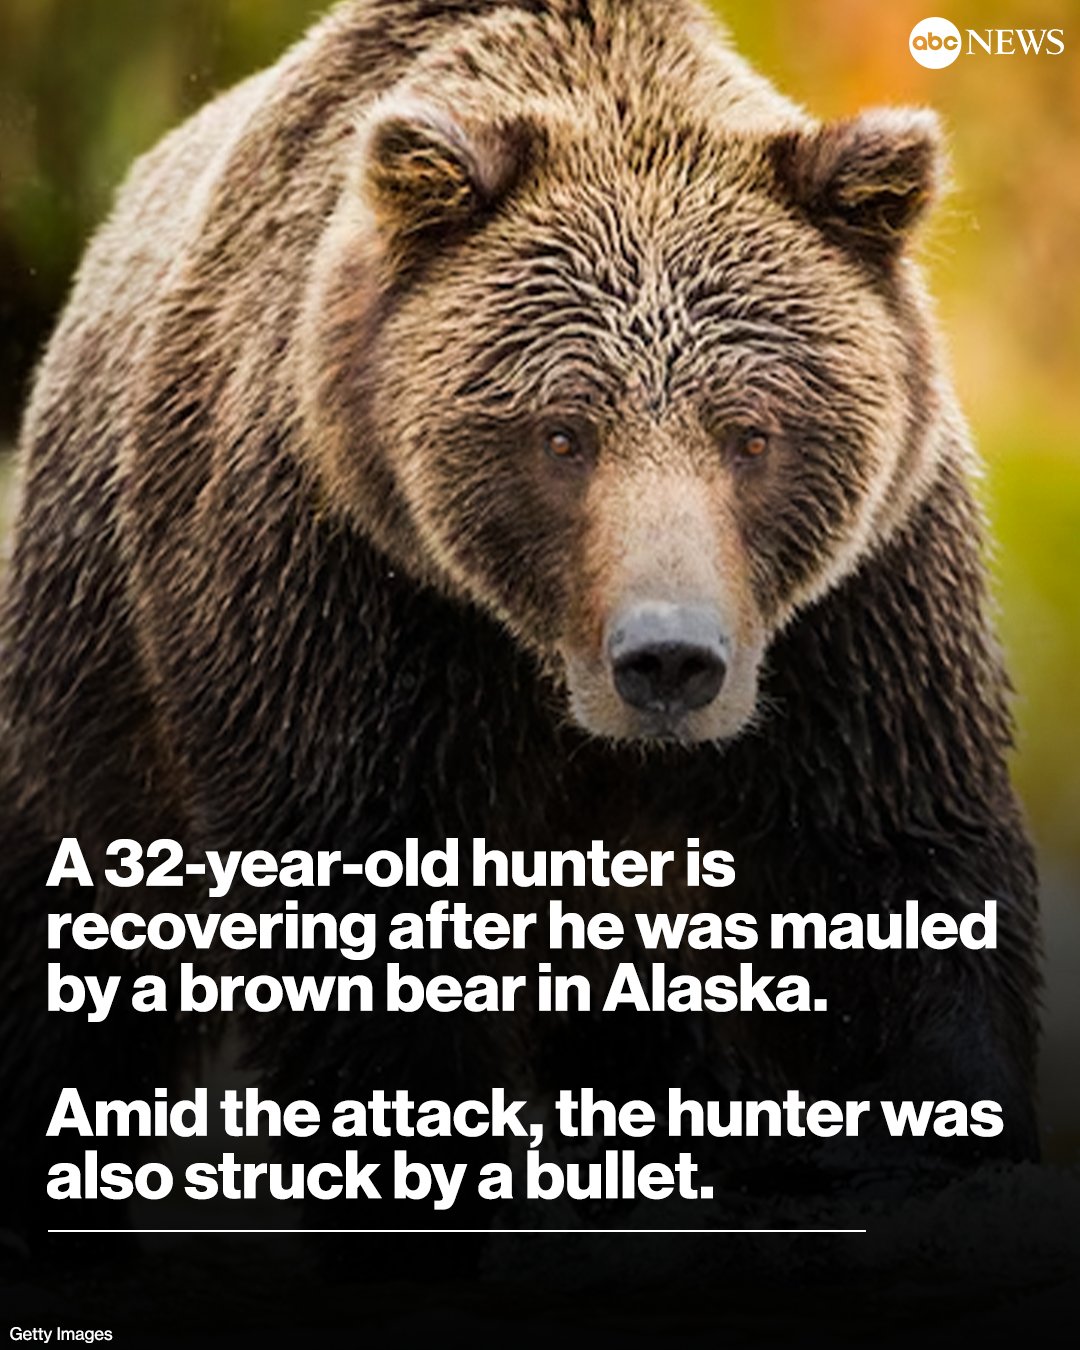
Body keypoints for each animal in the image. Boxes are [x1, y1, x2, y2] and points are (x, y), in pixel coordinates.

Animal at [0, 0, 1039, 1252]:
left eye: (752, 434)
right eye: (561, 434)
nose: (669, 660)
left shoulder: (858, 613)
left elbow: (890, 861)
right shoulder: (343, 594)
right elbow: (368, 916)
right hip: (89, 674)